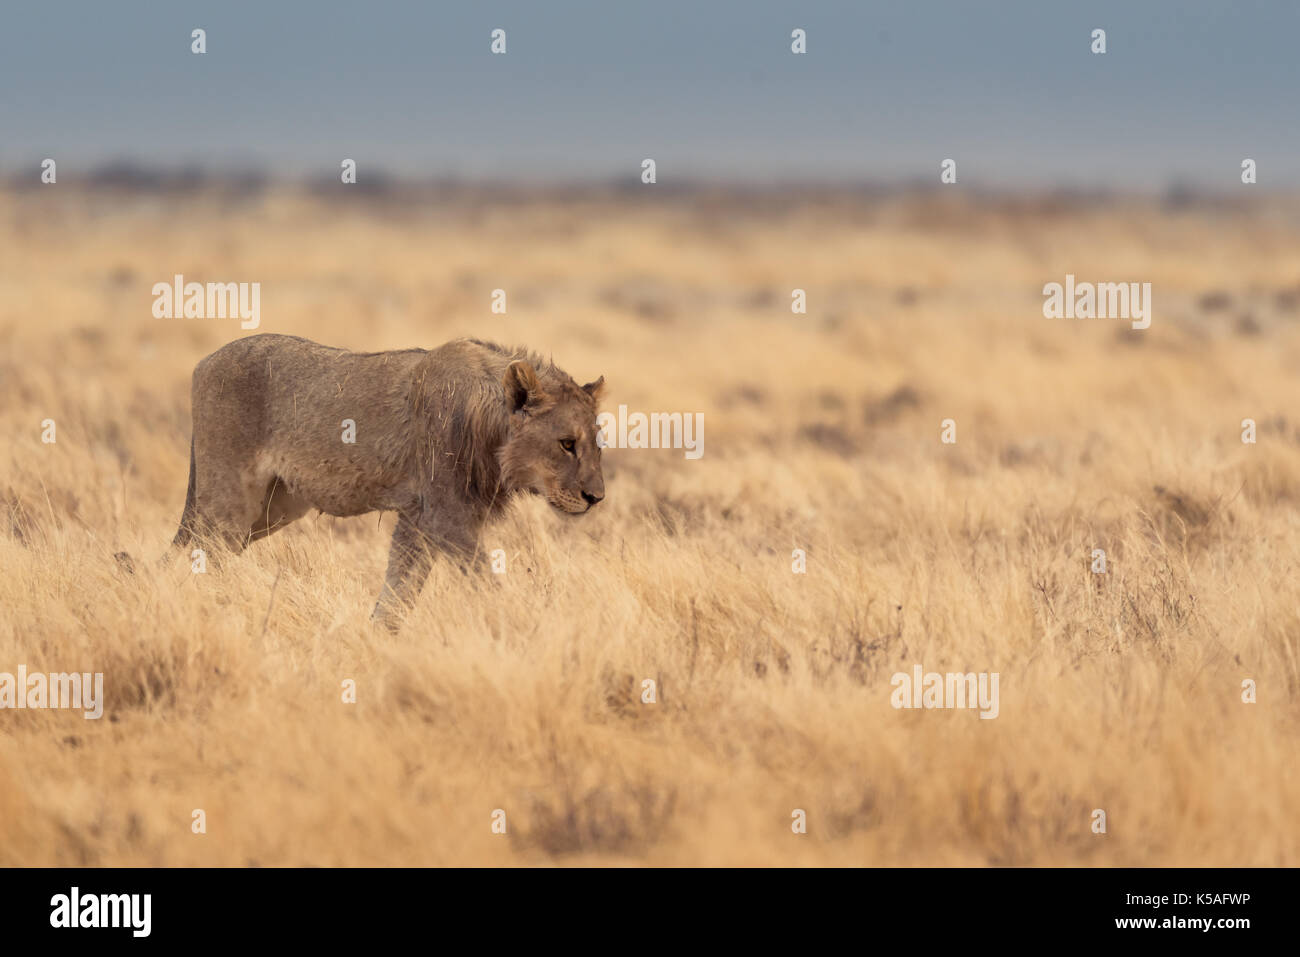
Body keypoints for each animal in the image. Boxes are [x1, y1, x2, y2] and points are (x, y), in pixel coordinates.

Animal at [171, 333, 606, 627]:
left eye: (596, 443)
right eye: (567, 444)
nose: (596, 498)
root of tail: (205, 361)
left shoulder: (418, 518)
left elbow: (400, 588)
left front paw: (378, 639)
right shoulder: (445, 517)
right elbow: (484, 581)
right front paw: (520, 625)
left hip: (271, 509)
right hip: (228, 503)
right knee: (205, 553)